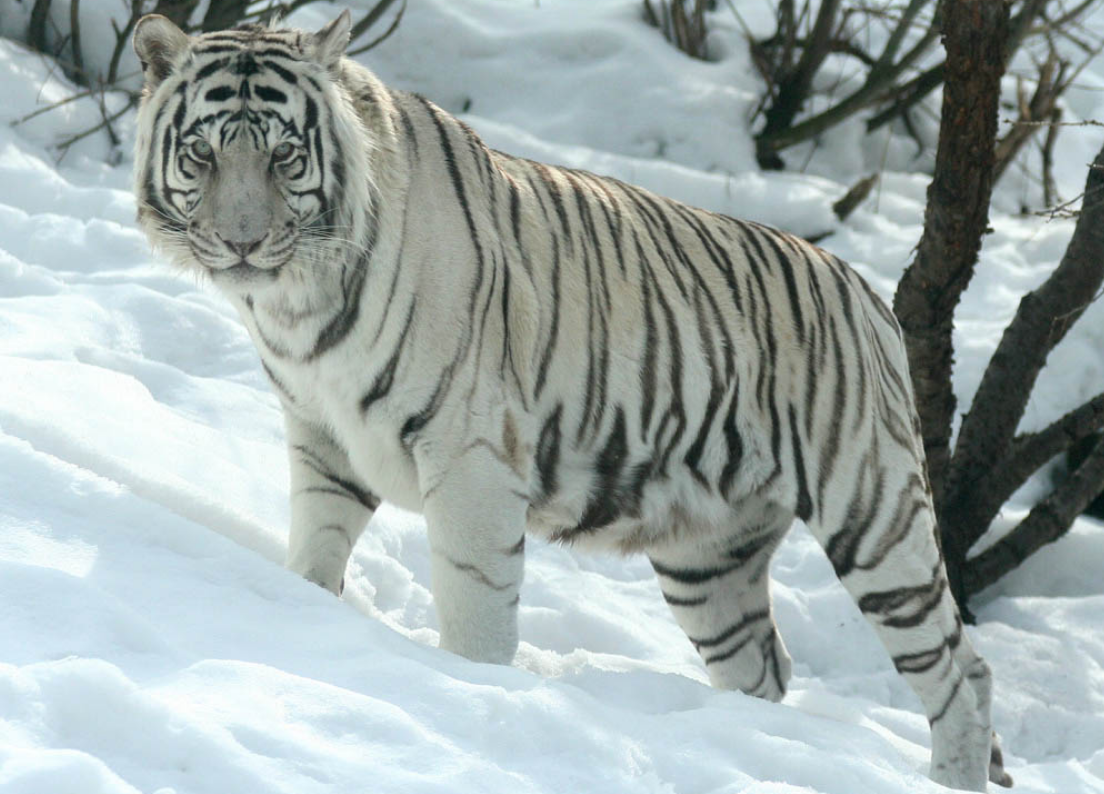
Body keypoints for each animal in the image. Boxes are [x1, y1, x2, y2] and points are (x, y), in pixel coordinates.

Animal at [132, 11, 1010, 791]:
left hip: (873, 514)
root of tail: (867, 292)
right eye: (202, 153)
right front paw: (304, 613)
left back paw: (953, 775)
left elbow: (476, 605)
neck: (293, 302)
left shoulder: (470, 454)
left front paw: (469, 692)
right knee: (768, 666)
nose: (243, 243)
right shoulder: (323, 434)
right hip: (709, 560)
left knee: (962, 672)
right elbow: (315, 551)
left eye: (285, 156)